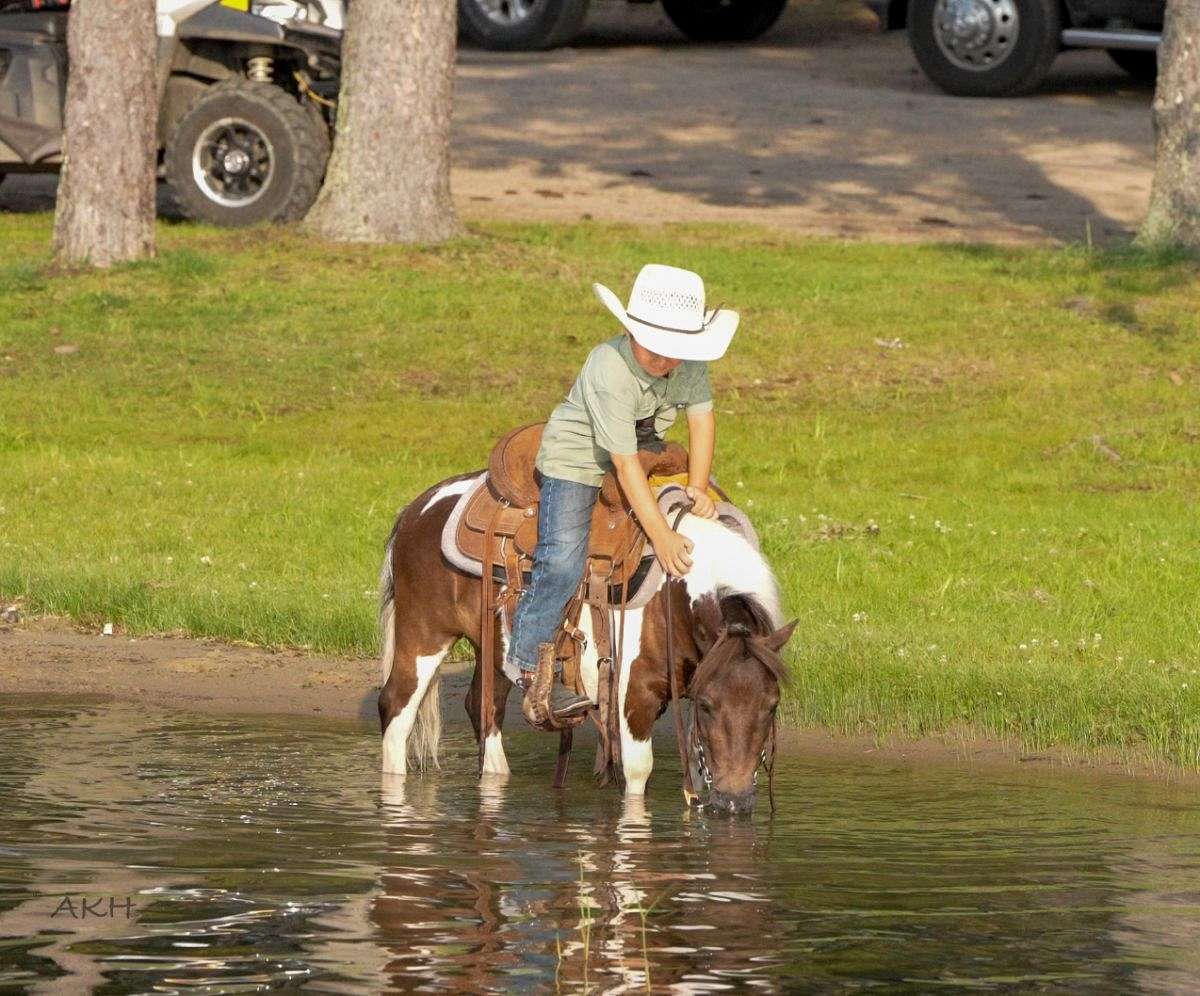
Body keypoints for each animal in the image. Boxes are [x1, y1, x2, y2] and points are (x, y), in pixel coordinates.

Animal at [376, 470, 797, 814]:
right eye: (709, 705)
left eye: (772, 705)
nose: (734, 802)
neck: (673, 597)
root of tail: (417, 509)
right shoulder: (635, 696)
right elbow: (638, 774)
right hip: (424, 635)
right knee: (396, 709)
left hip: (491, 648)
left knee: (484, 707)